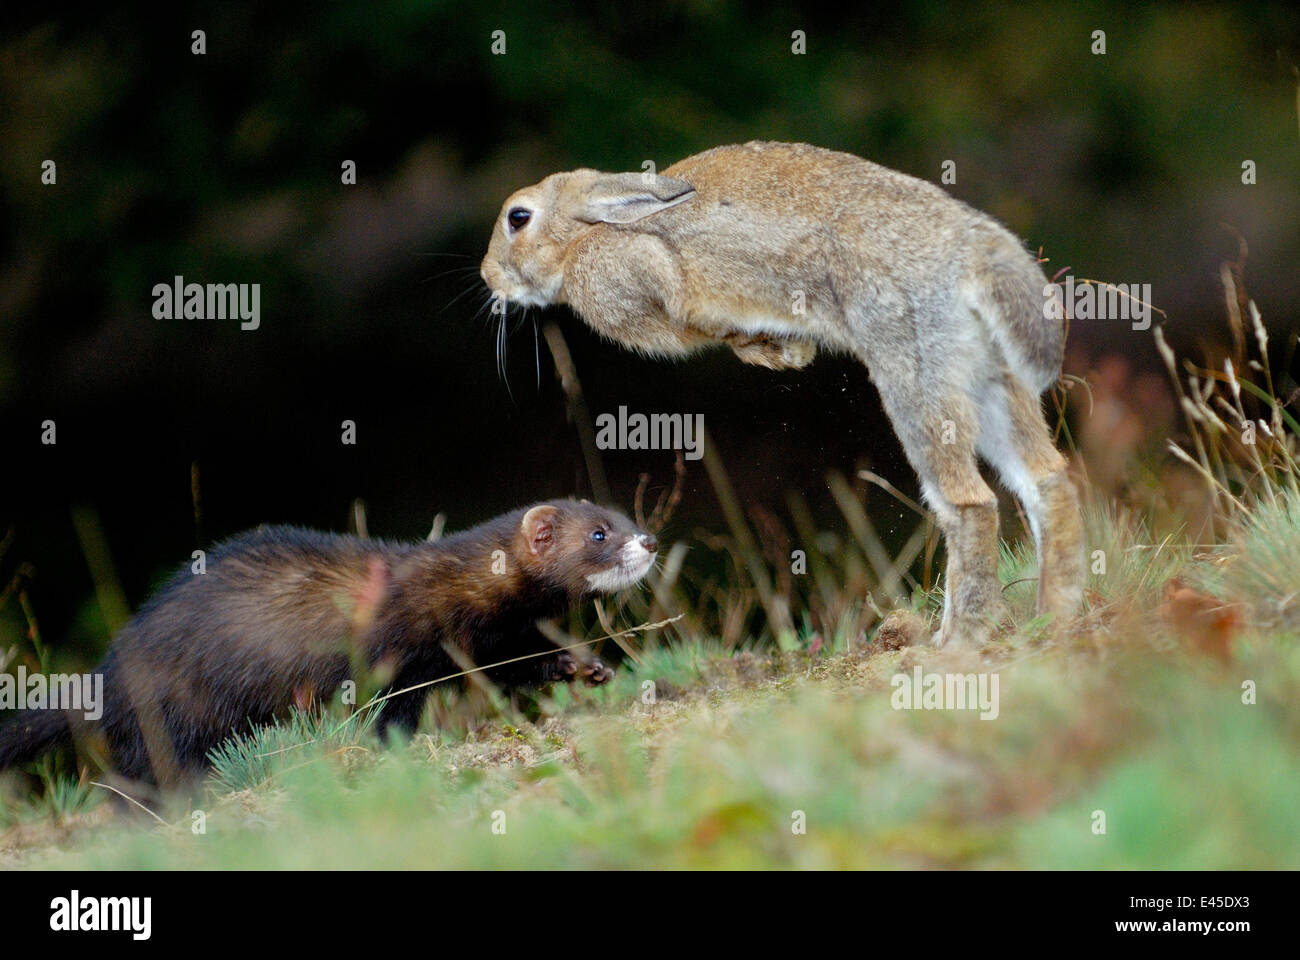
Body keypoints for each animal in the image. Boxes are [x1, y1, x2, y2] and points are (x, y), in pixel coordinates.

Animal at [481, 140, 1084, 647]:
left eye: (518, 217)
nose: (489, 277)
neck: (582, 237)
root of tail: (973, 252)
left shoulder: (648, 283)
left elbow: (695, 314)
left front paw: (777, 354)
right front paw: (788, 355)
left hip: (917, 374)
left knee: (969, 504)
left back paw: (956, 641)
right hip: (990, 378)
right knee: (1046, 479)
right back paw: (1055, 614)